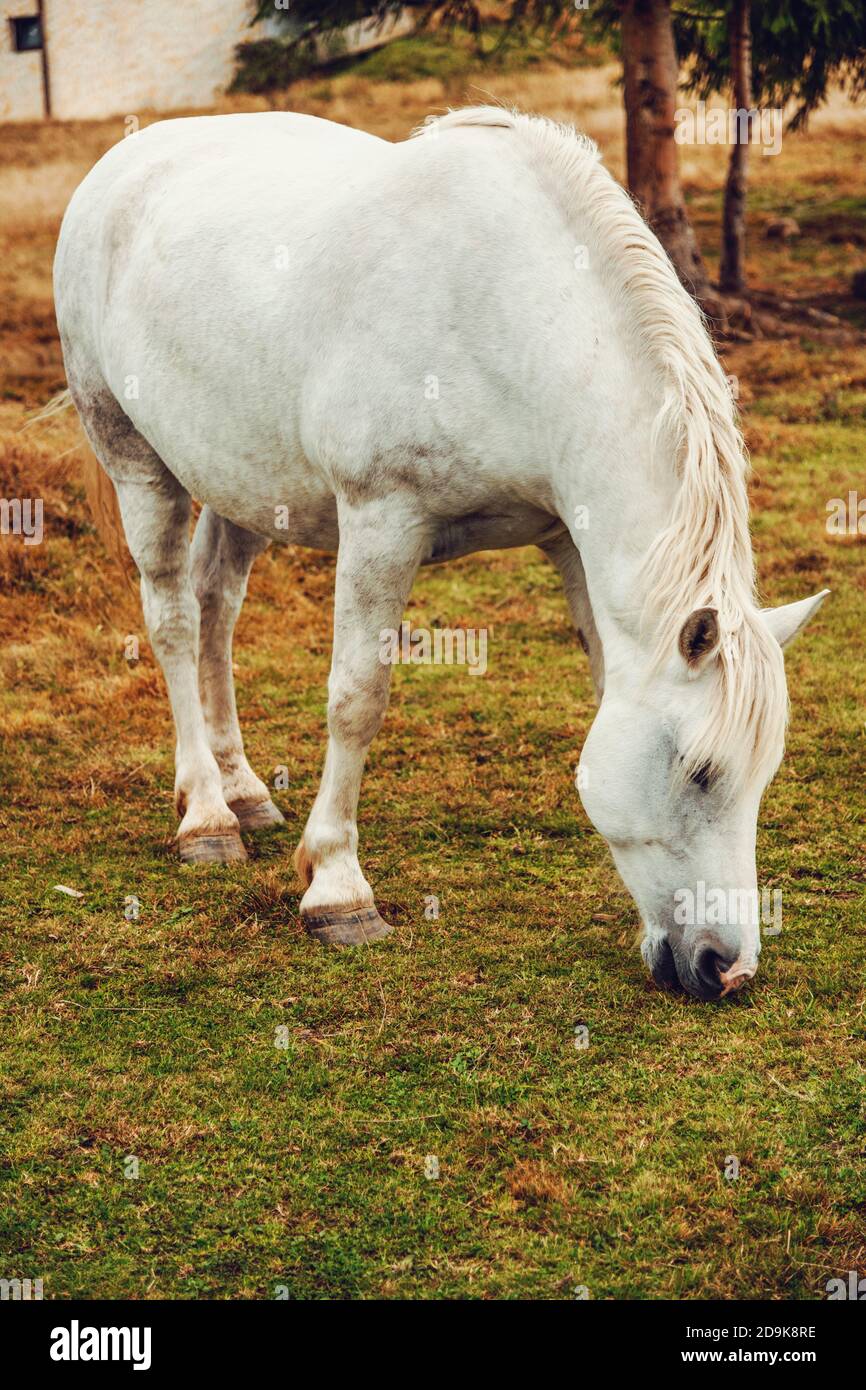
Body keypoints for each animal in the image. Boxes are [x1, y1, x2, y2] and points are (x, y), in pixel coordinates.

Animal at [53, 106, 827, 999]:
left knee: (216, 606)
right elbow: (358, 698)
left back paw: (244, 790)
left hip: (240, 479)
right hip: (136, 458)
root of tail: (120, 163)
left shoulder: (567, 539)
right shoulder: (382, 519)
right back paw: (208, 815)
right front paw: (337, 888)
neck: (508, 312)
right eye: (699, 770)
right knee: (175, 619)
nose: (727, 969)